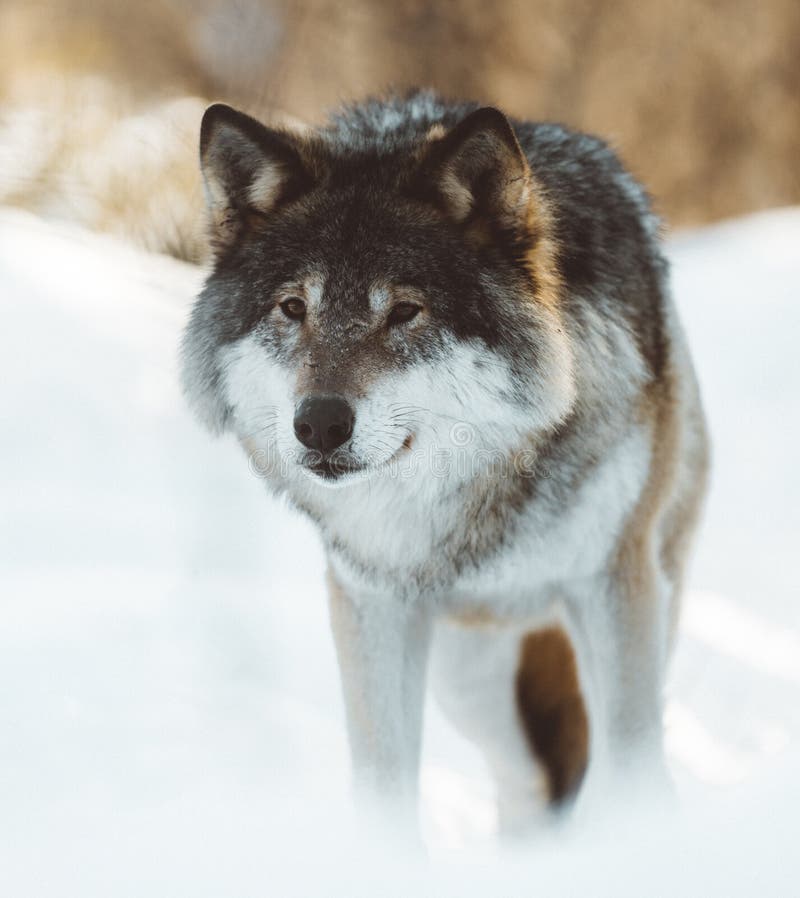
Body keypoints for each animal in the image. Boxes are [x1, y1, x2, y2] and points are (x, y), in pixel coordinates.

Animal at [181, 89, 709, 831]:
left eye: (405, 311)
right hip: (469, 679)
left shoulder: (612, 582)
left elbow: (632, 770)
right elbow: (383, 787)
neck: (473, 499)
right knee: (530, 785)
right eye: (292, 307)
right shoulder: (372, 603)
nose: (319, 424)